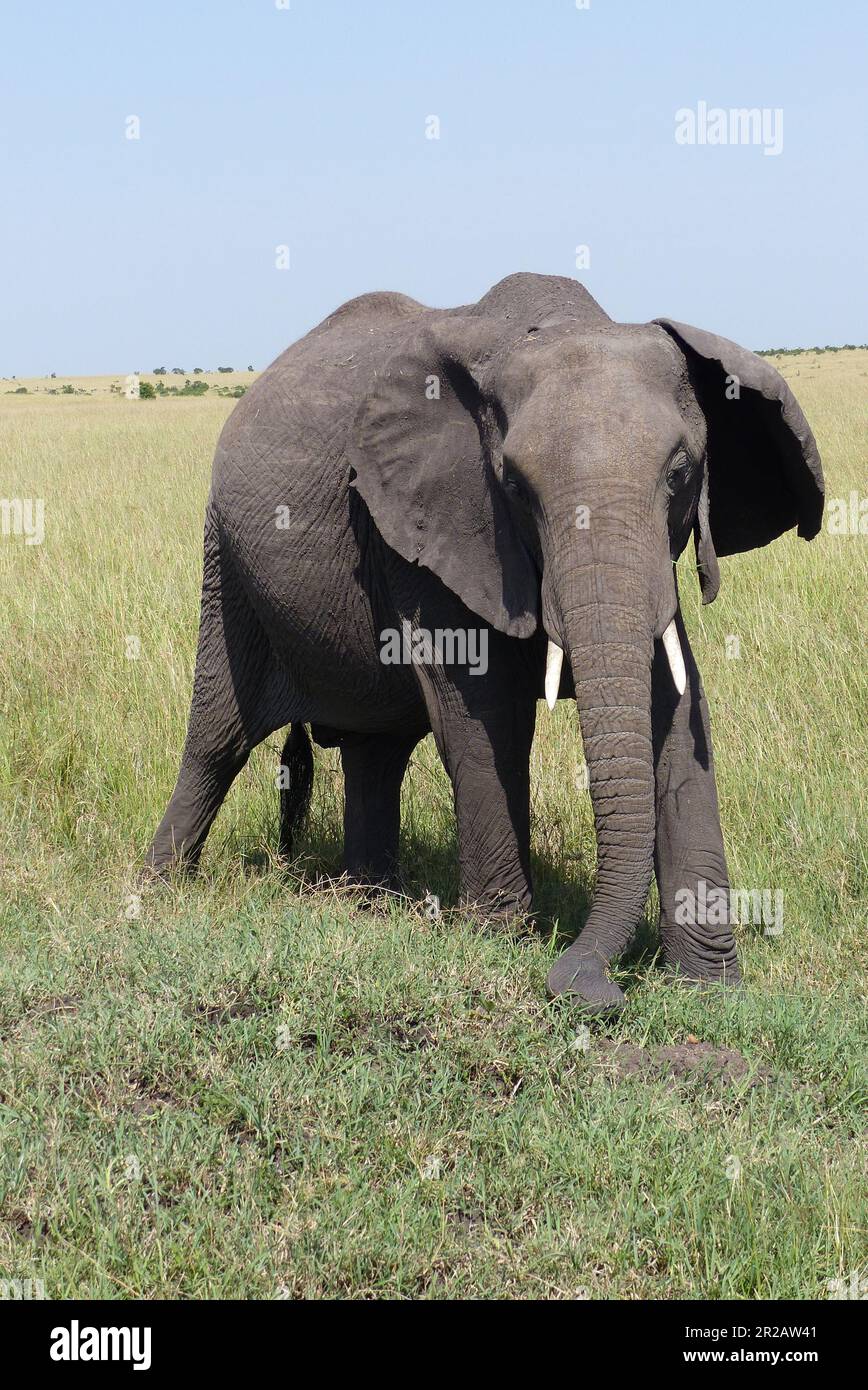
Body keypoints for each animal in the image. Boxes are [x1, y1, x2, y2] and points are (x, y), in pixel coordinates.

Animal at [145, 273, 823, 1013]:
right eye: (516, 487)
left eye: (680, 473)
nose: (595, 989)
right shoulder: (430, 524)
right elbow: (486, 714)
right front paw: (500, 940)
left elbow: (677, 713)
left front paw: (712, 991)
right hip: (225, 557)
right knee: (219, 738)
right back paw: (159, 893)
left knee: (375, 752)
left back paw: (370, 904)